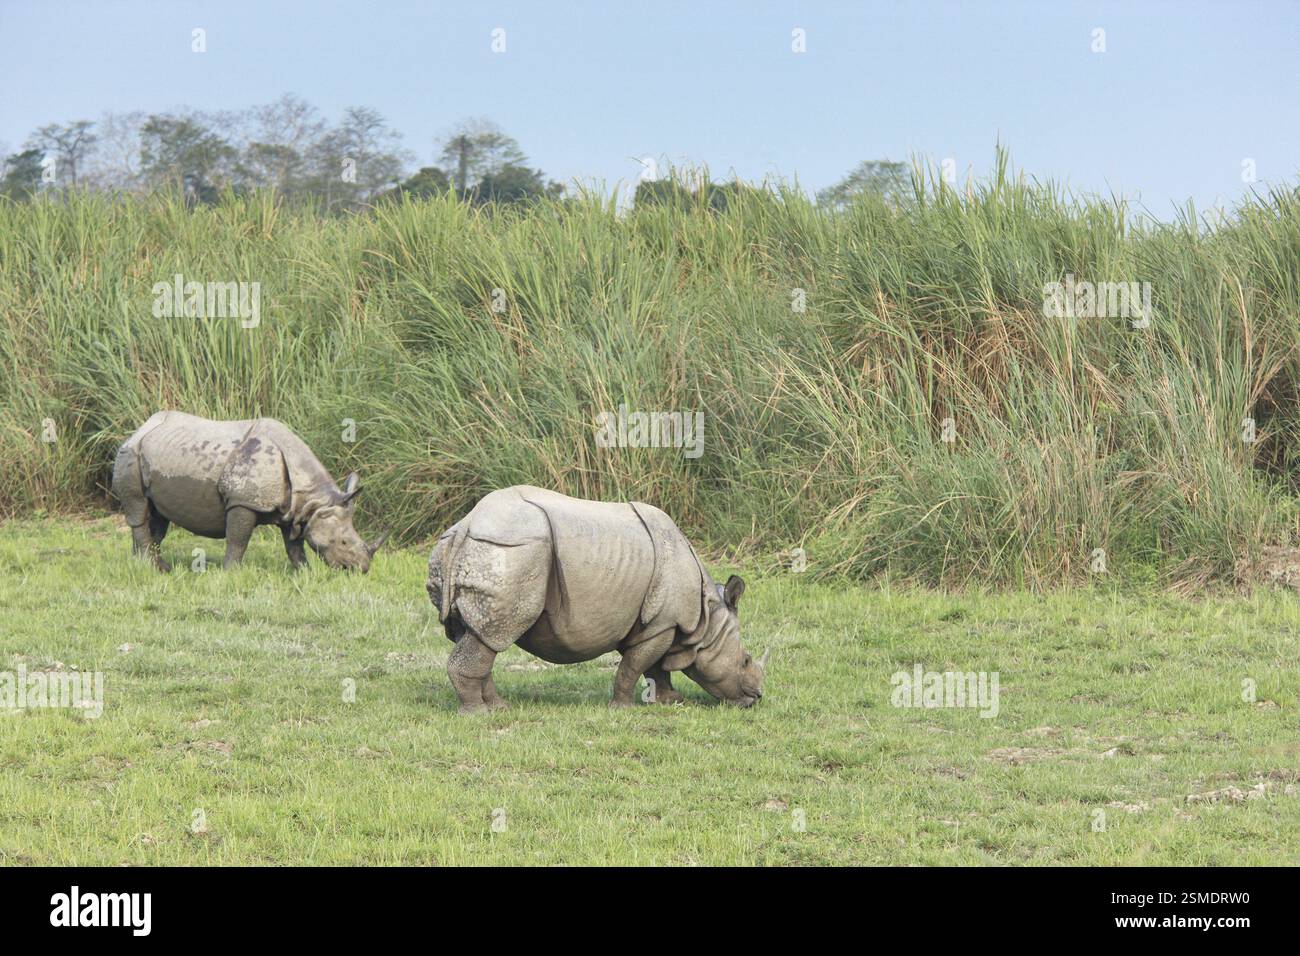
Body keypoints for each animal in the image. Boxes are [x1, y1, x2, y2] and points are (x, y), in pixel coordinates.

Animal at [111, 410, 384, 572]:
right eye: (343, 541)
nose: (361, 569)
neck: (313, 499)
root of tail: (140, 428)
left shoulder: (295, 510)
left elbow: (294, 545)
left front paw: (304, 573)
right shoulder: (242, 501)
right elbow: (238, 539)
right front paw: (231, 573)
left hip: (152, 452)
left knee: (157, 517)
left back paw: (149, 566)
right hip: (130, 454)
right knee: (139, 510)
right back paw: (151, 567)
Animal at [426, 485, 767, 713]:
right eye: (745, 660)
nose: (757, 697)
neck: (706, 618)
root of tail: (466, 525)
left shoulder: (659, 625)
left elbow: (656, 667)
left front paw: (670, 700)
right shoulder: (663, 622)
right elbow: (635, 665)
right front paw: (624, 708)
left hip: (473, 551)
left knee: (476, 635)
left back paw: (499, 707)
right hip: (512, 552)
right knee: (495, 634)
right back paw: (479, 714)